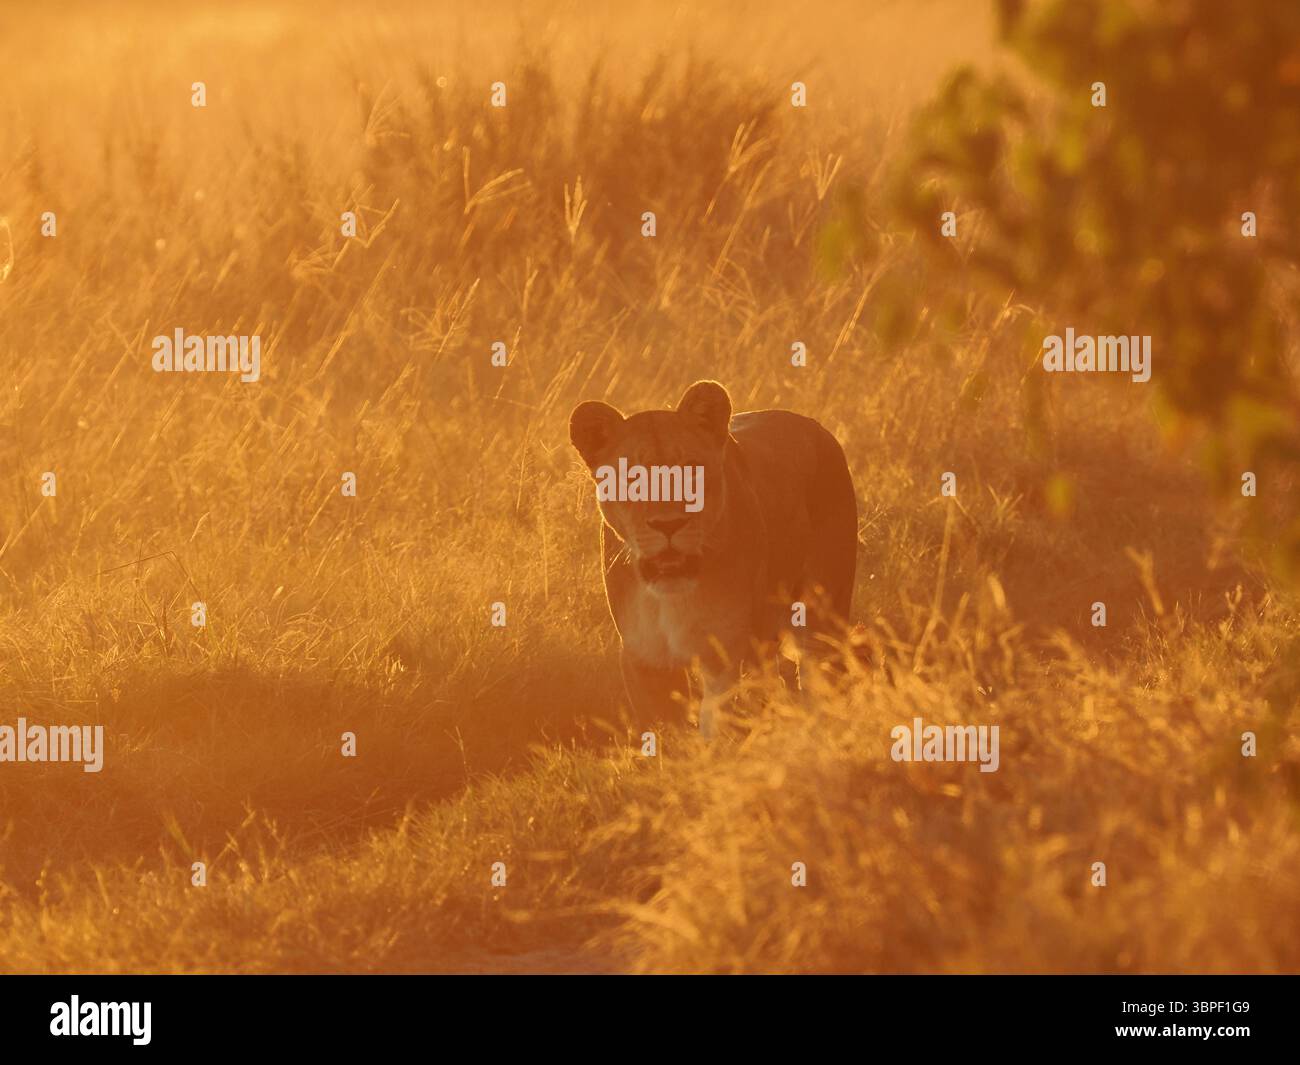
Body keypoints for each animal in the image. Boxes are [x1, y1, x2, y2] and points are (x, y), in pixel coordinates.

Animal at [569, 380, 858, 736]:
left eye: (691, 471)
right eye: (632, 477)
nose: (669, 525)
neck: (672, 596)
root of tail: (814, 425)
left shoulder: (726, 653)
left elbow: (719, 724)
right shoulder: (645, 659)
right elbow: (666, 735)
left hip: (822, 617)